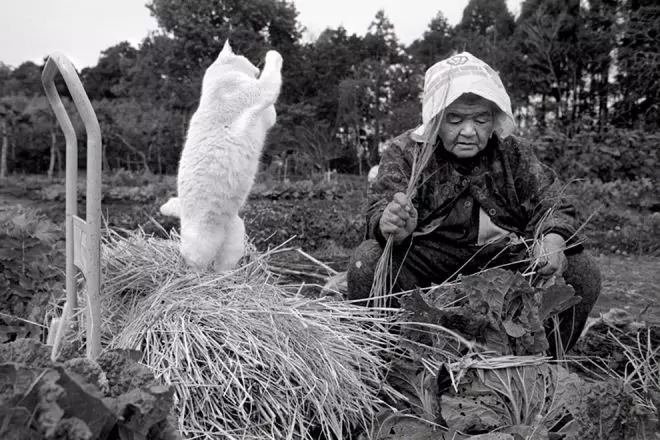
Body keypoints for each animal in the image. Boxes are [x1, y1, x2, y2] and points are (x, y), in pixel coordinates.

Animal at [162, 41, 284, 272]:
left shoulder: (264, 114)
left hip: (235, 234)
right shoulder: (260, 91)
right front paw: (273, 53)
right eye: (245, 58)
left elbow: (271, 113)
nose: (255, 68)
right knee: (196, 264)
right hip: (200, 246)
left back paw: (227, 275)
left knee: (223, 264)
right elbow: (272, 74)